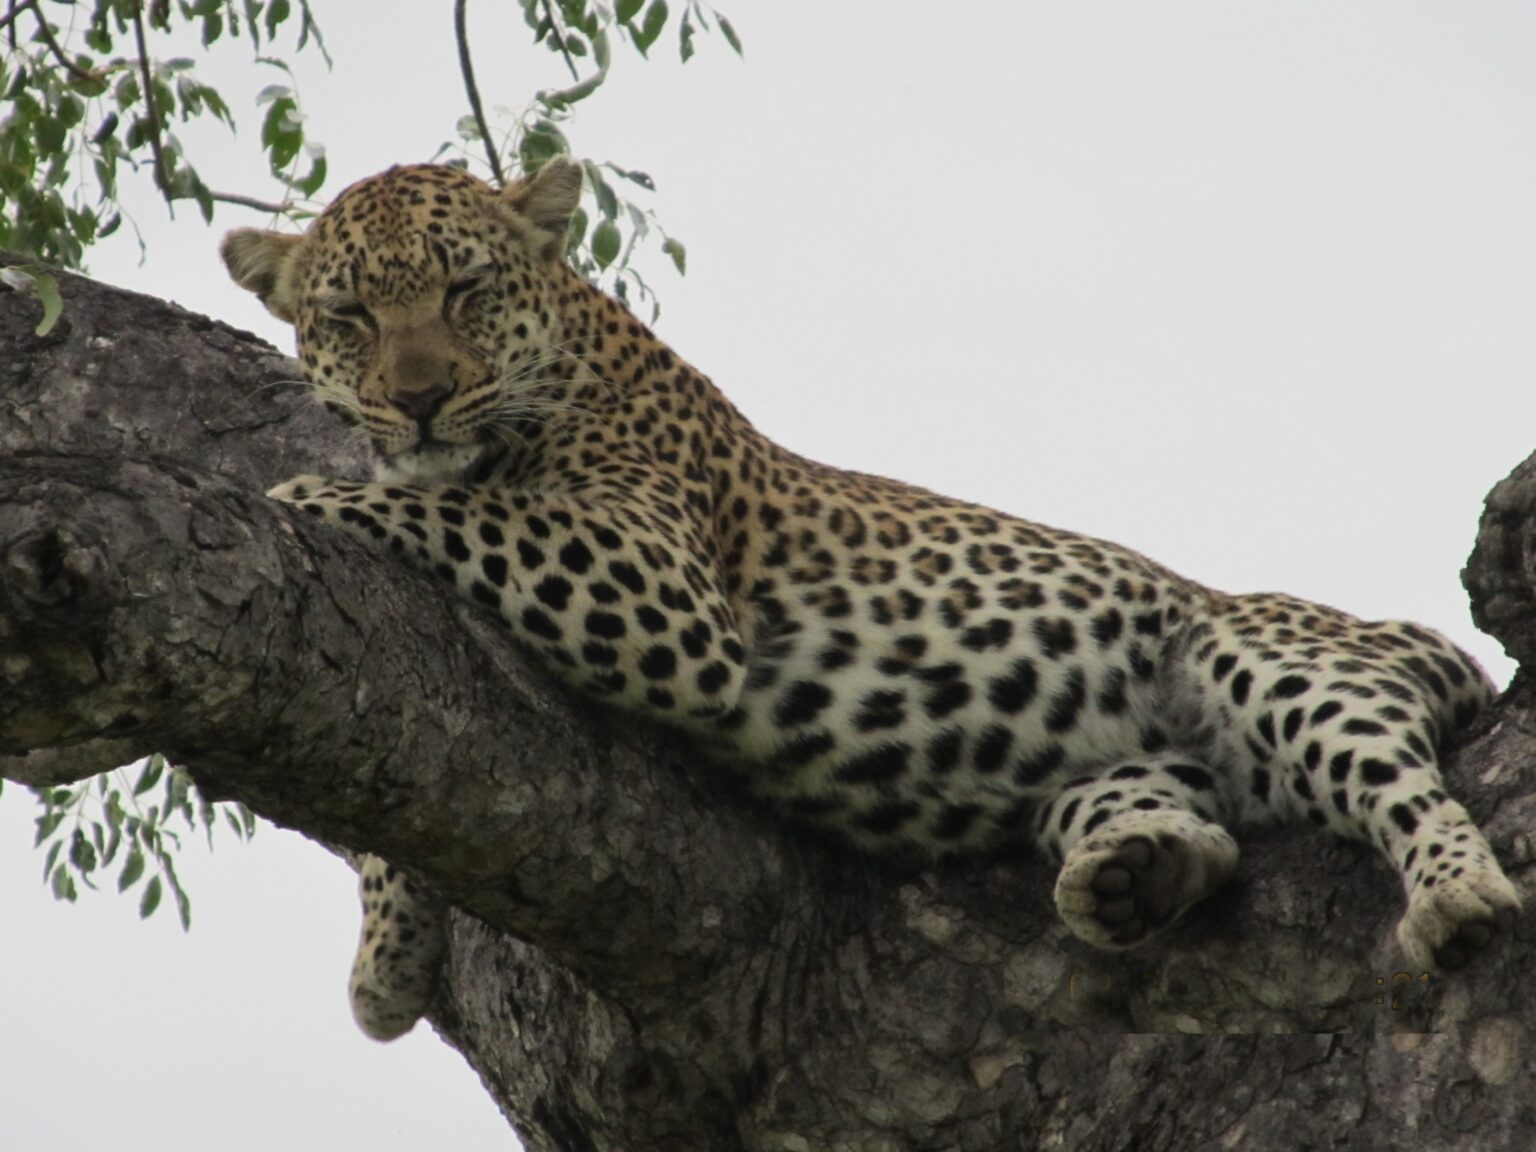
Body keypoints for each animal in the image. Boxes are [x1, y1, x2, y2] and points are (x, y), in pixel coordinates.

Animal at [221, 157, 1522, 1041]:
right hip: (1125, 768)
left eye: (467, 290)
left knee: (1407, 785)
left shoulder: (659, 584)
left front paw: (299, 488)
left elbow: (452, 516)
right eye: (348, 316)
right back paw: (1135, 871)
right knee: (1184, 819)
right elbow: (393, 802)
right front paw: (388, 960)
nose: (419, 399)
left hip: (1276, 663)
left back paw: (1458, 902)